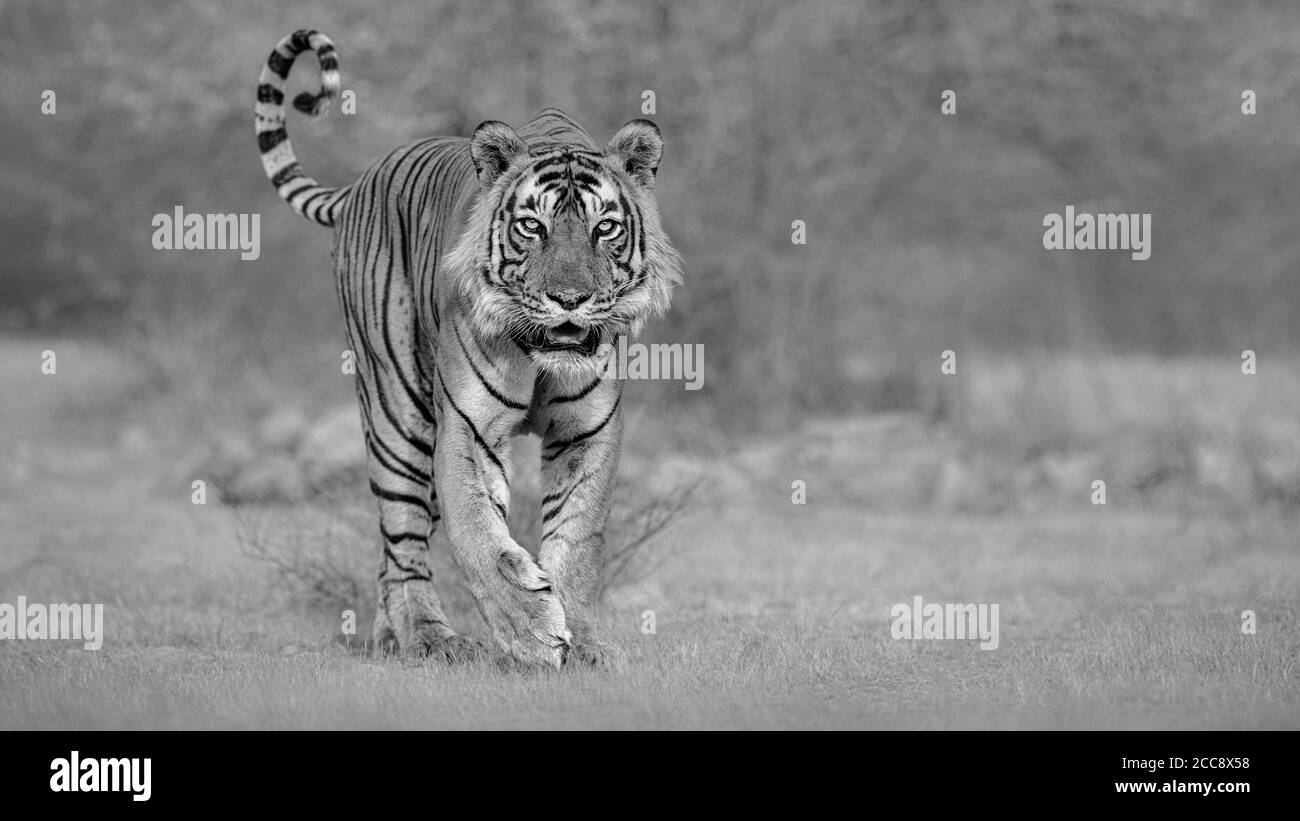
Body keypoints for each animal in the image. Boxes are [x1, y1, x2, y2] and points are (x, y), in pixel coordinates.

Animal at [254, 29, 681, 669]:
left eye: (604, 228)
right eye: (532, 227)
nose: (570, 299)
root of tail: (360, 183)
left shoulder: (587, 431)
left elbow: (577, 541)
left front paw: (583, 642)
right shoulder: (467, 428)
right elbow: (479, 535)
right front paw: (531, 630)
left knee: (390, 552)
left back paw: (389, 638)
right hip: (399, 416)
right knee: (403, 541)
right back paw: (429, 638)